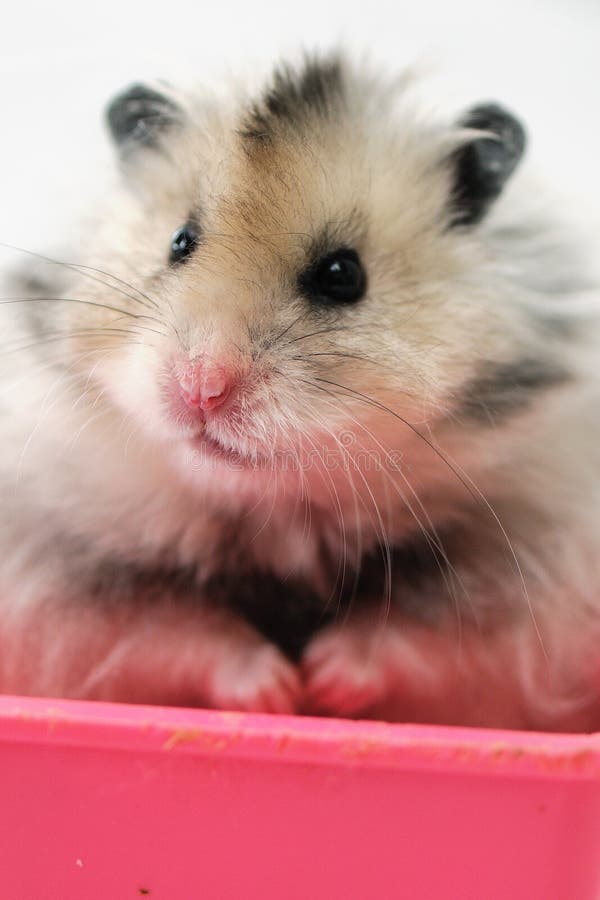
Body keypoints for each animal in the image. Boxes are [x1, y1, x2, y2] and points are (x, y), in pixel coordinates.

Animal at [1, 53, 600, 729]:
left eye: (343, 274)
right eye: (179, 241)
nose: (200, 388)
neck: (277, 505)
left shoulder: (515, 570)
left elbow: (421, 628)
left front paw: (321, 682)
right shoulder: (75, 581)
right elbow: (176, 628)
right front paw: (277, 691)